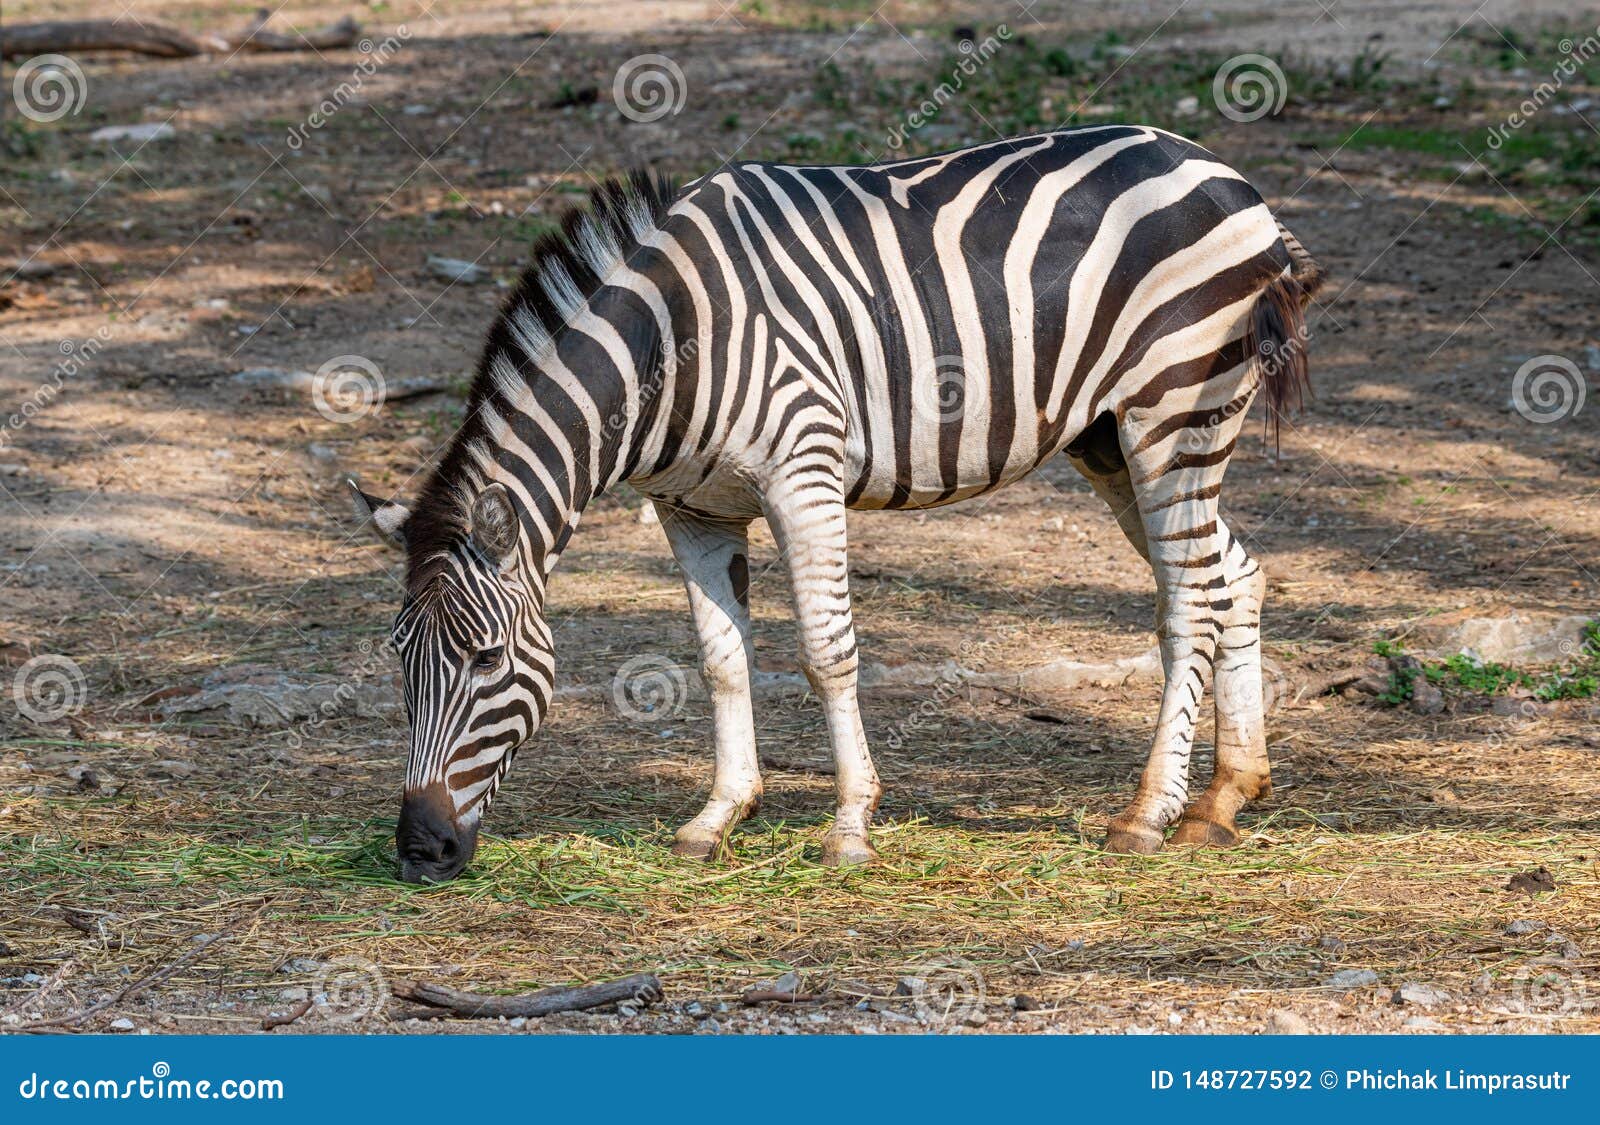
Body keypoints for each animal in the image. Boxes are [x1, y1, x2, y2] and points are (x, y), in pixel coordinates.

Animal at [354, 125, 1324, 883]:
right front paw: (718, 817)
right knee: (1233, 572)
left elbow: (827, 652)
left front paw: (851, 826)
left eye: (485, 658)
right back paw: (1224, 798)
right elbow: (721, 660)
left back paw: (1148, 815)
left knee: (1191, 597)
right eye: (399, 661)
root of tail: (1224, 175)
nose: (419, 852)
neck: (670, 345)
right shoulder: (693, 508)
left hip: (1176, 409)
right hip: (1111, 437)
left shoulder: (803, 472)